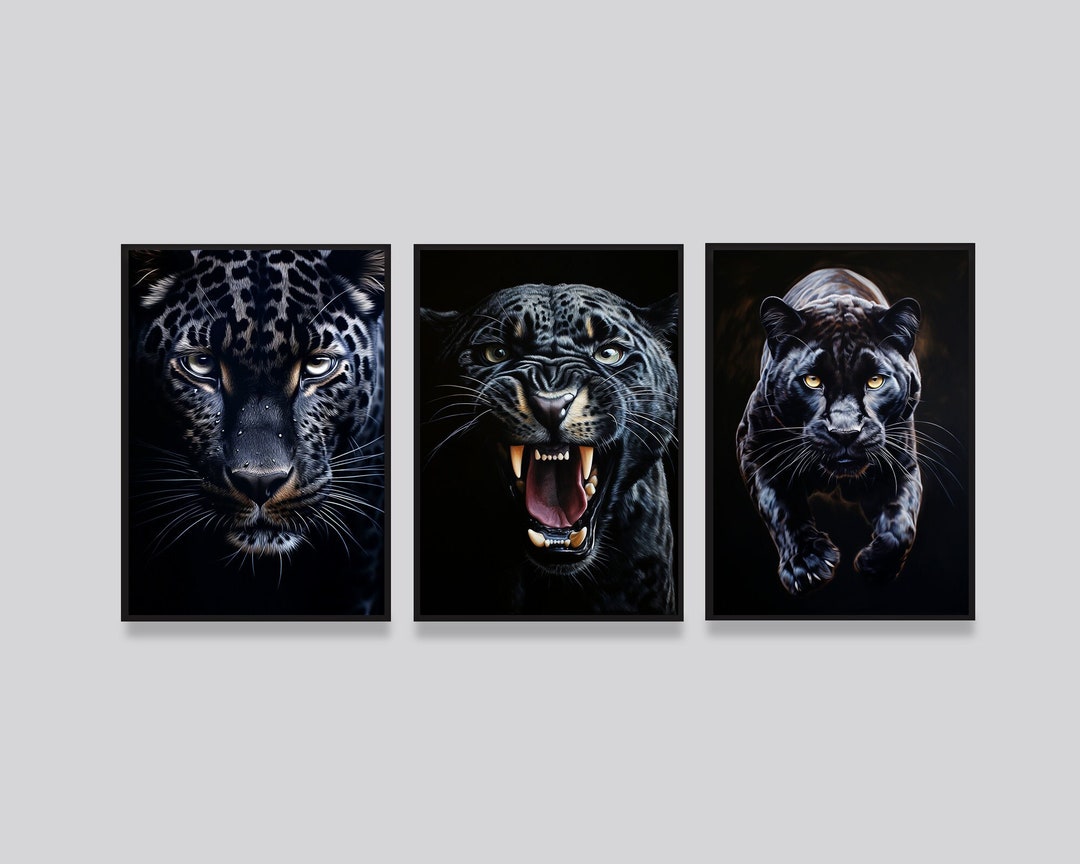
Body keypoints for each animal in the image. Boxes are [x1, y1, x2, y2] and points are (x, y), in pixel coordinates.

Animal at [736, 267, 923, 596]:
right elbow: (782, 507)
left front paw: (876, 566)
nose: (844, 431)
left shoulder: (901, 465)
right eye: (812, 380)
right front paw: (807, 565)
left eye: (875, 381)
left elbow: (902, 523)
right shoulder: (756, 450)